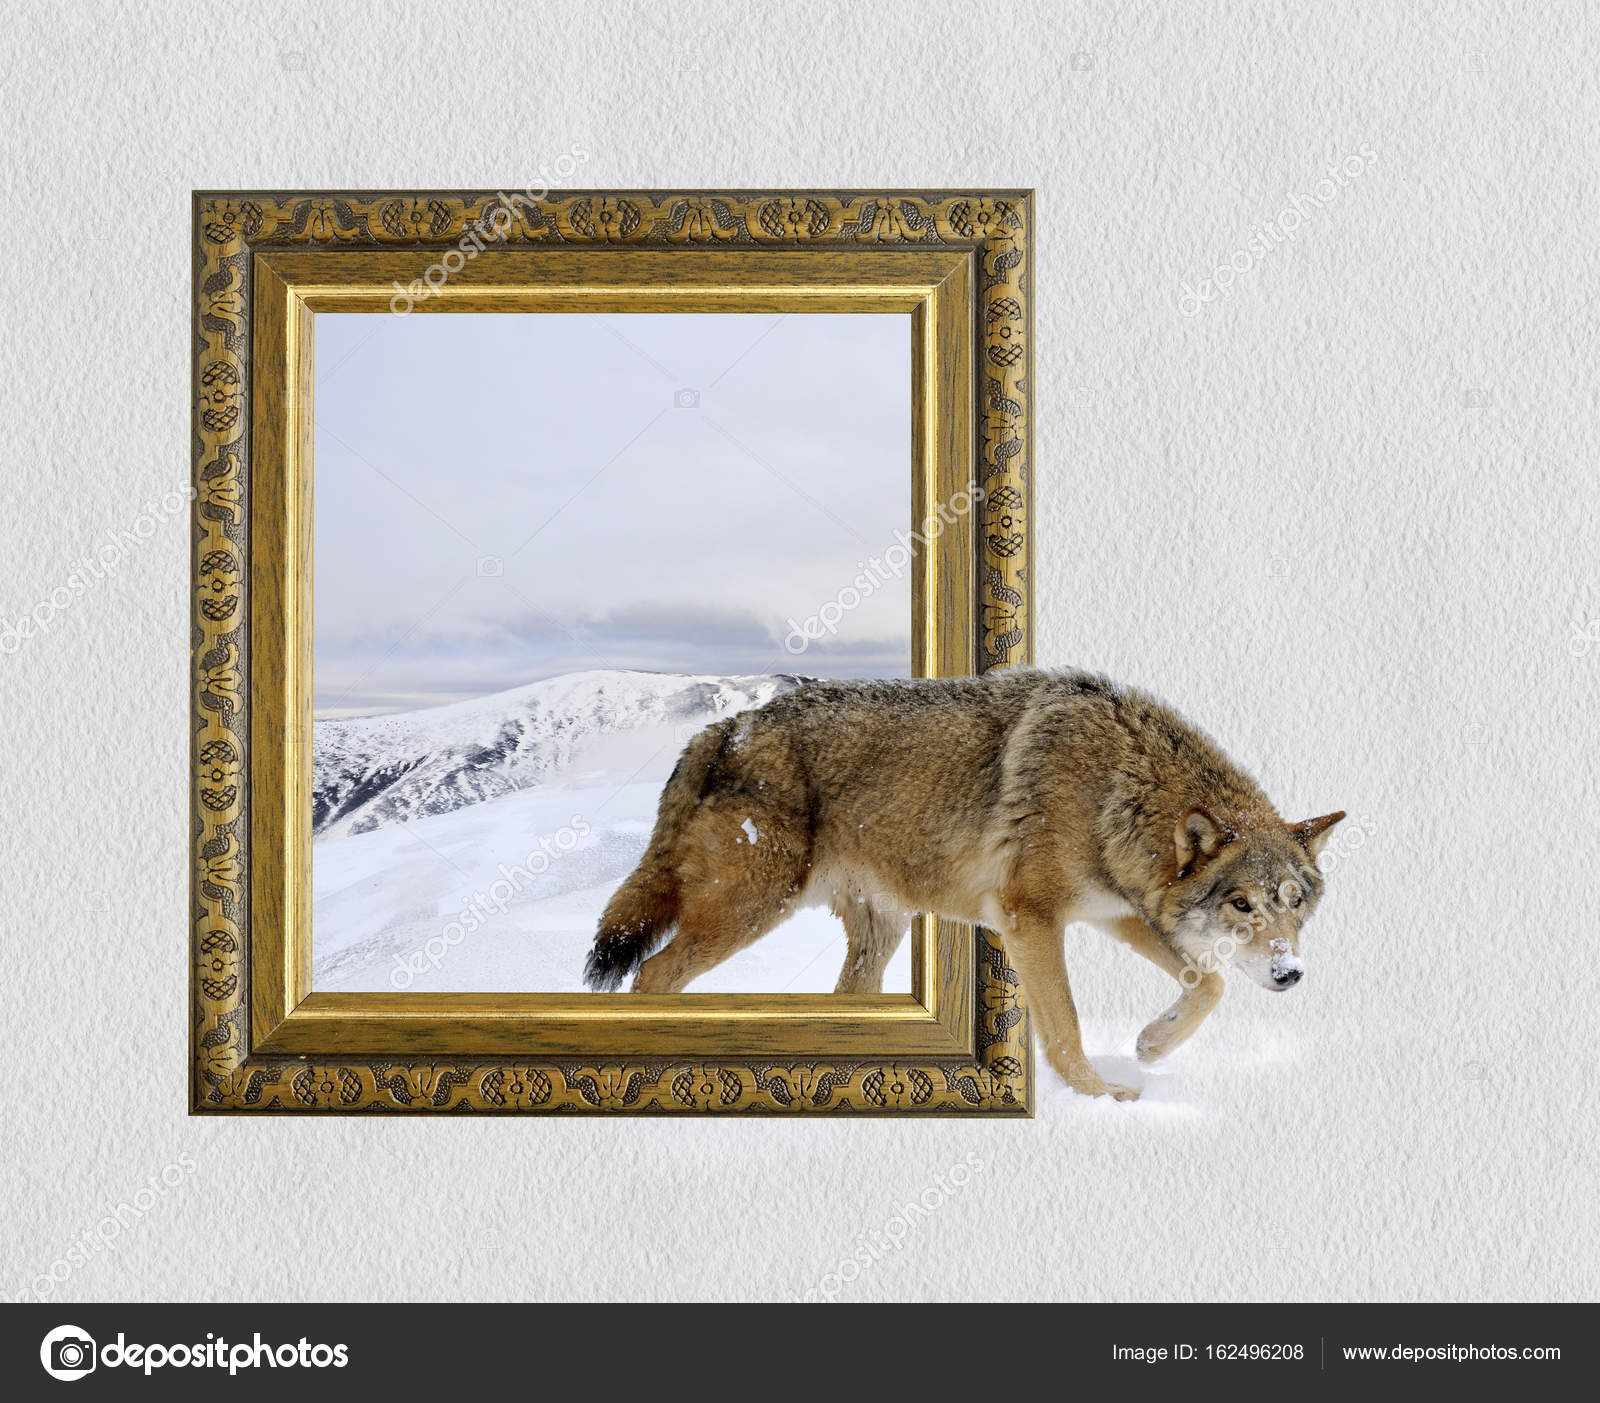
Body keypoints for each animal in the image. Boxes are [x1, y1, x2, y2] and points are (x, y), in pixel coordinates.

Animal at [583, 668, 1344, 1100]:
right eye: (1241, 903)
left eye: (1294, 906)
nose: (1290, 973)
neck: (1118, 790)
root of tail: (721, 728)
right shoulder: (1030, 918)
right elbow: (1066, 1027)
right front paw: (1099, 1098)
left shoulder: (1119, 912)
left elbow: (1208, 983)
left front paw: (1151, 1047)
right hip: (751, 909)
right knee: (652, 973)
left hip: (876, 936)